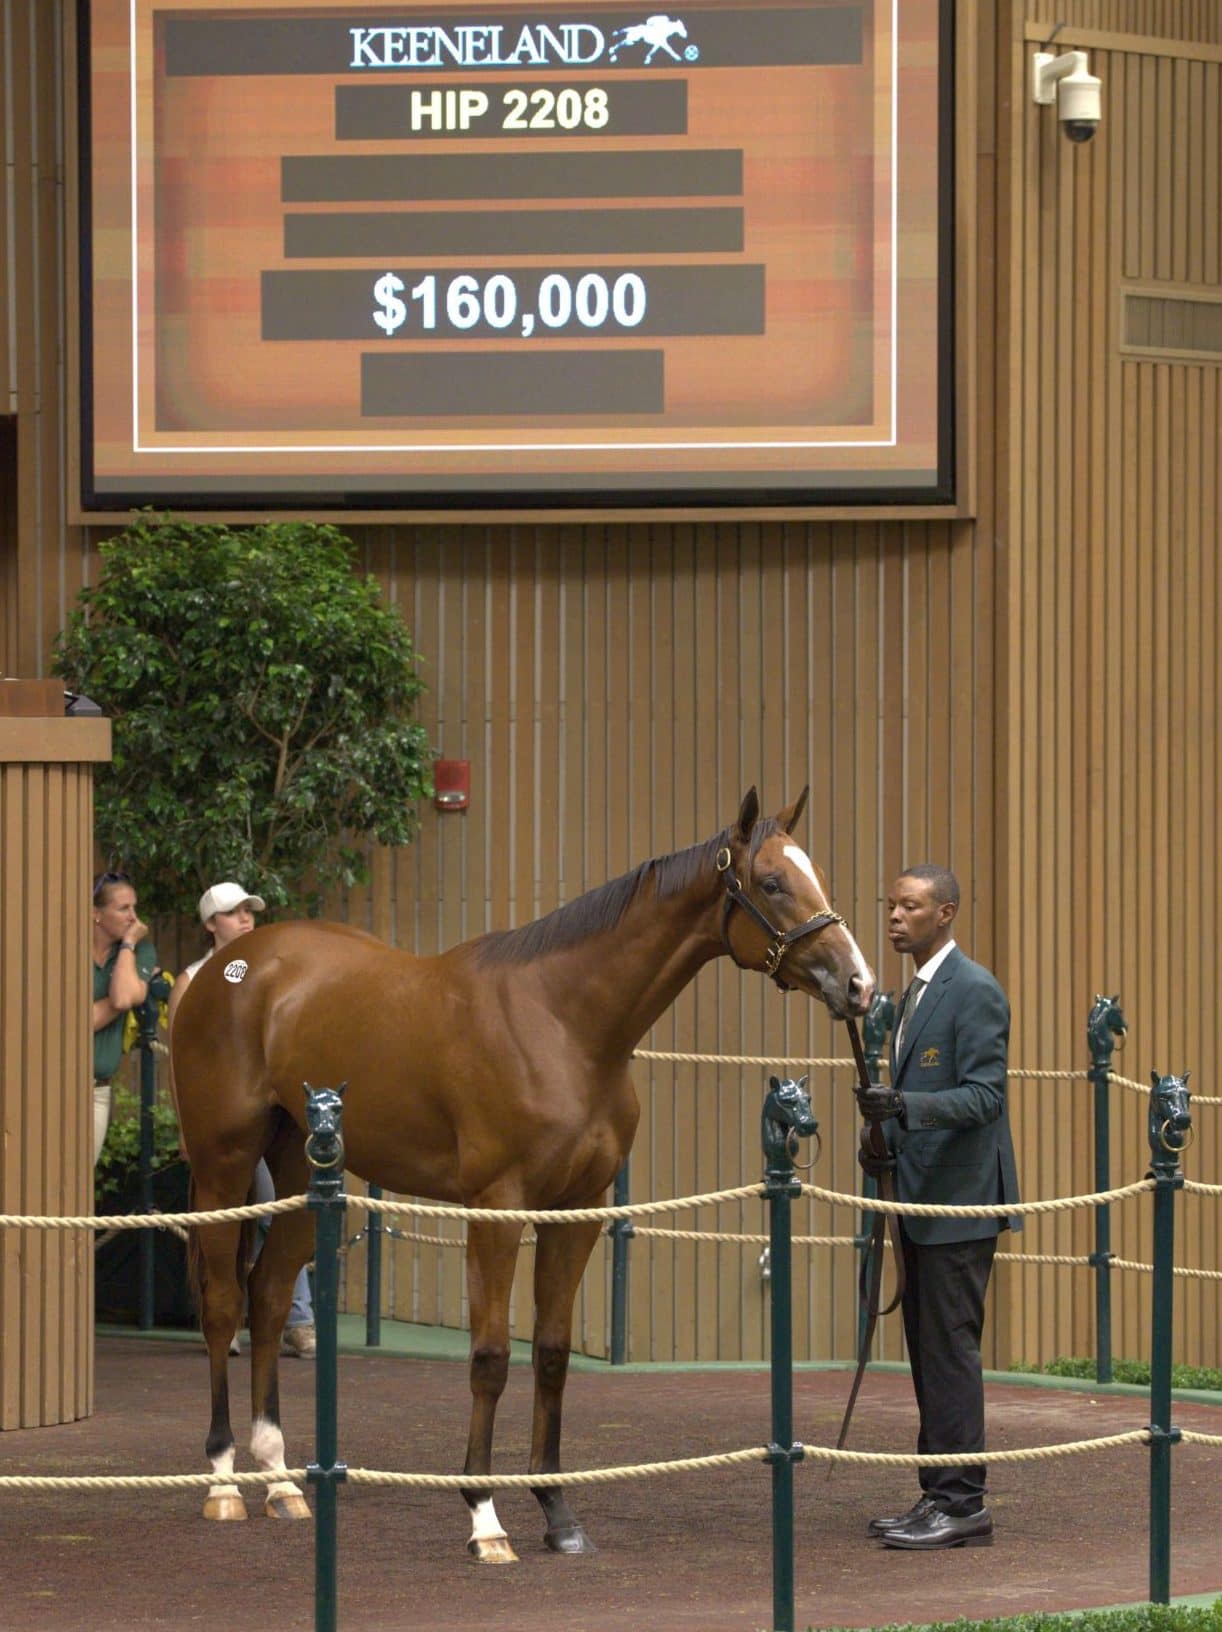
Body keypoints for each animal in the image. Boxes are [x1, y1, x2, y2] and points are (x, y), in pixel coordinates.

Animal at [170, 787, 875, 1558]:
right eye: (772, 883)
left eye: (818, 877)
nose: (859, 984)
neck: (563, 1022)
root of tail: (226, 968)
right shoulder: (497, 1209)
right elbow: (489, 1356)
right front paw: (484, 1514)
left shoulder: (578, 1211)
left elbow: (553, 1353)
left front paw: (557, 1512)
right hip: (224, 1168)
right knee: (223, 1305)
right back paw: (224, 1483)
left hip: (303, 1170)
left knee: (268, 1299)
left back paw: (282, 1483)